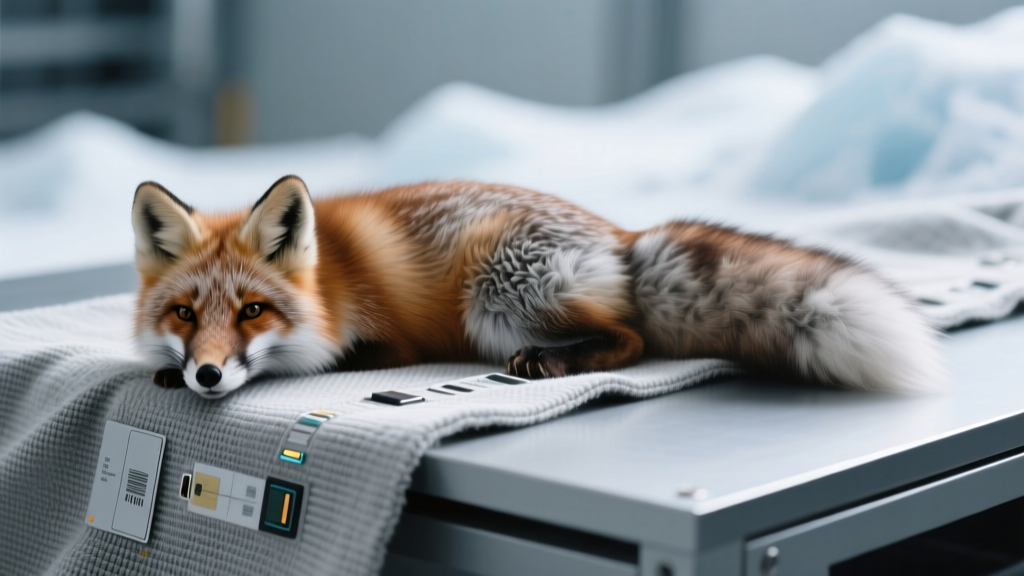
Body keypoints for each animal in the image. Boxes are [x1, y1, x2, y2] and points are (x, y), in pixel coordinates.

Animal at [132, 175, 945, 399]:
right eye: (184, 314)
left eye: (252, 311)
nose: (207, 375)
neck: (331, 281)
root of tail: (621, 236)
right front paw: (168, 372)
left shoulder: (388, 338)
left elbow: (335, 357)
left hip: (495, 296)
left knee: (632, 340)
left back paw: (552, 362)